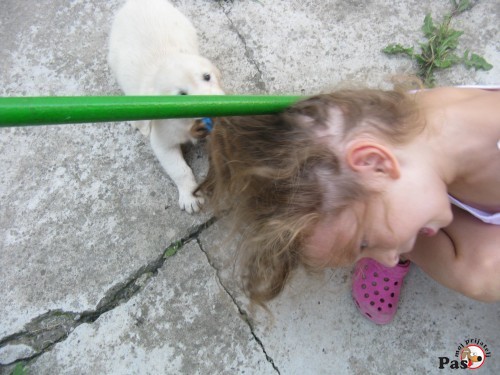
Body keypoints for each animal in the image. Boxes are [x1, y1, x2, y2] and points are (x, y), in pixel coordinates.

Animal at [108, 0, 224, 213]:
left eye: (207, 76)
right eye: (182, 95)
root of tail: (136, 2)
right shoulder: (162, 142)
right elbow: (180, 170)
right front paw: (189, 196)